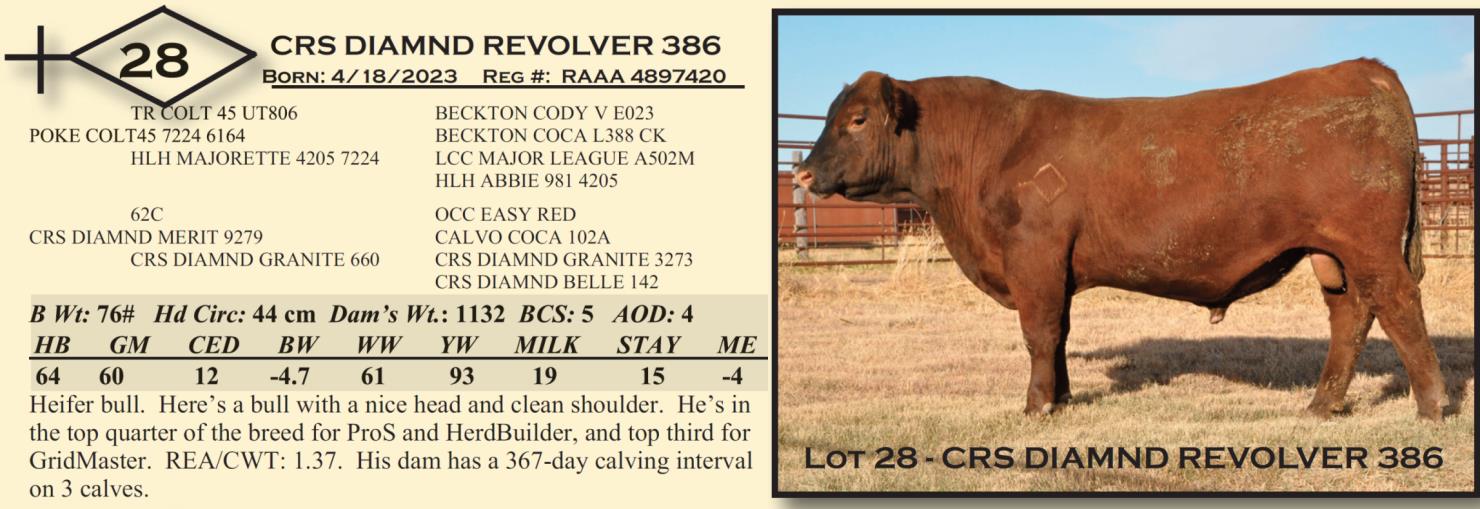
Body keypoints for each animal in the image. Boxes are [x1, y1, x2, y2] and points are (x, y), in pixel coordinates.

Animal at [793, 58, 1445, 421]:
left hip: (1369, 245)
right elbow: (1058, 334)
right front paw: (1060, 398)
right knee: (1351, 316)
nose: (801, 173)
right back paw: (1321, 406)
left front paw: (1035, 407)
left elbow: (1038, 333)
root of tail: (1364, 68)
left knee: (1400, 306)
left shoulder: (1034, 256)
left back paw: (1432, 407)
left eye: (857, 119)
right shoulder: (1055, 269)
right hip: (1332, 253)